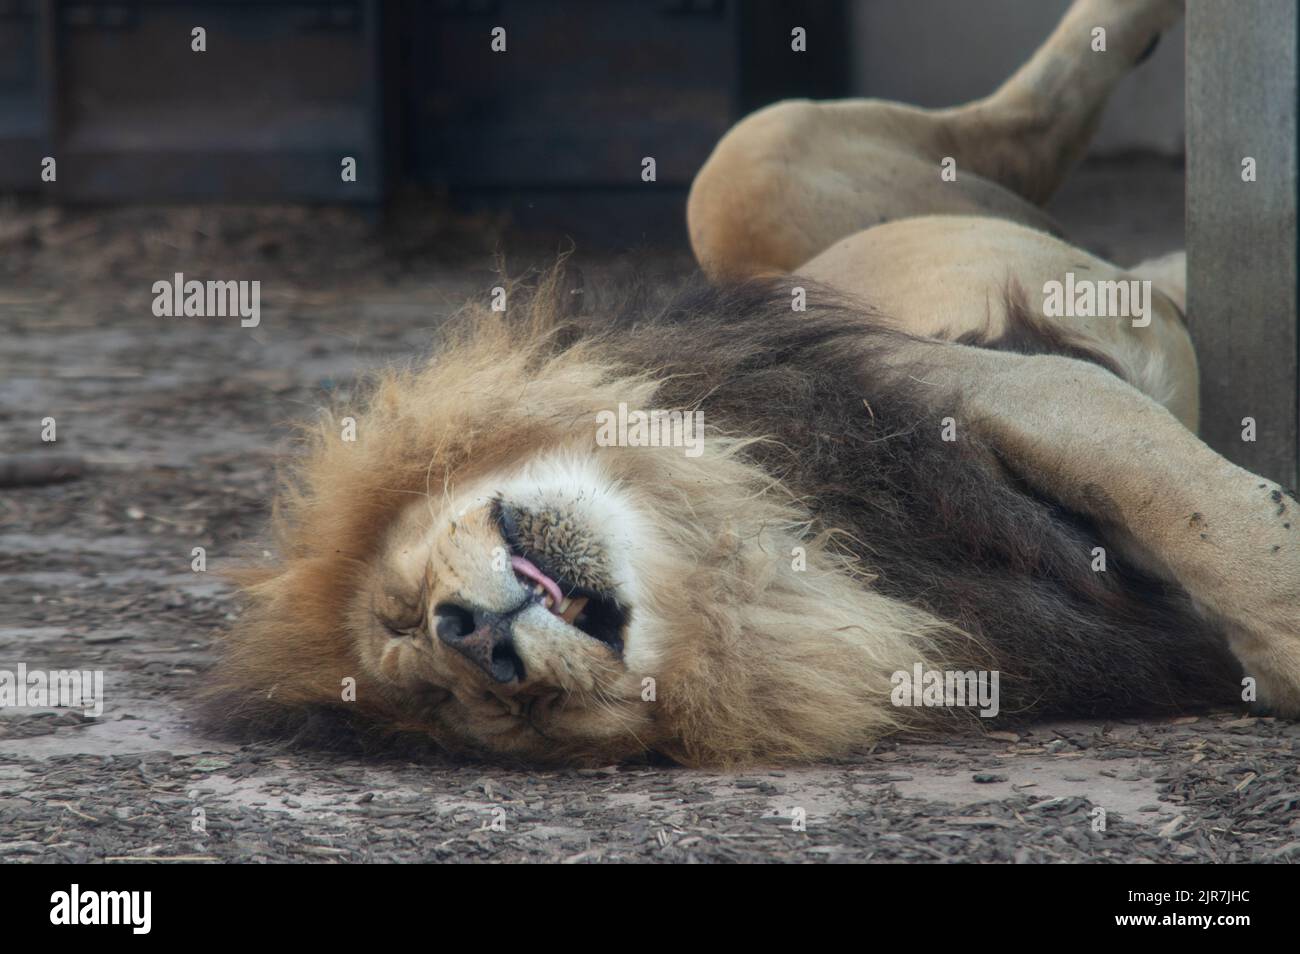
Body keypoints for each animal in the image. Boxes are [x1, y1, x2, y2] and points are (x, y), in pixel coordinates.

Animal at [204, 0, 1299, 767]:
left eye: (407, 607)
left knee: (1030, 117)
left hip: (746, 169)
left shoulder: (973, 385)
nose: (470, 637)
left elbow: (1209, 520)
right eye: (479, 702)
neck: (770, 537)